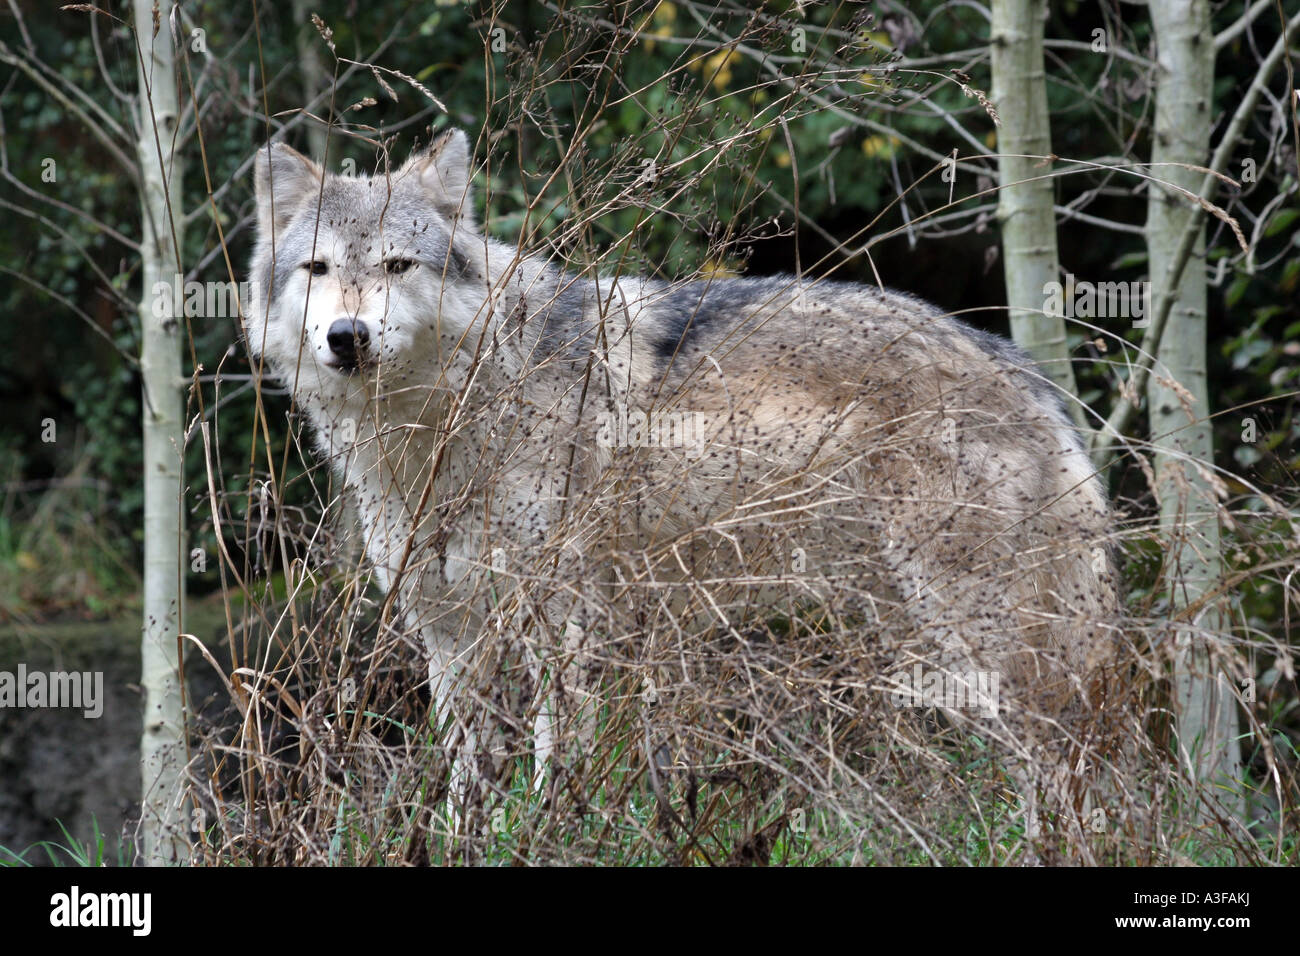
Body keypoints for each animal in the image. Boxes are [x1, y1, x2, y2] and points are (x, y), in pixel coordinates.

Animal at [246, 129, 1117, 834]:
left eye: (396, 265)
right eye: (318, 268)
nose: (348, 335)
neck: (434, 431)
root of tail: (1021, 369)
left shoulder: (563, 623)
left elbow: (556, 767)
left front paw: (551, 837)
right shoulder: (450, 630)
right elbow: (467, 787)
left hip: (981, 643)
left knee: (1067, 773)